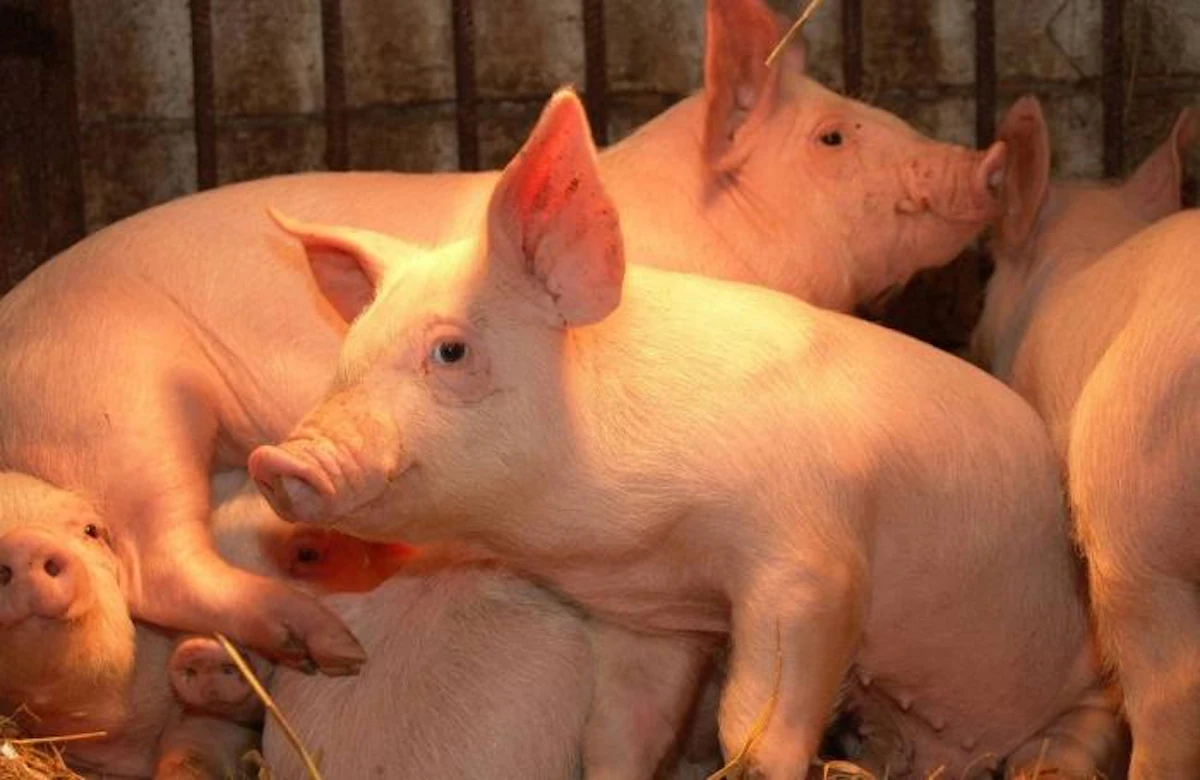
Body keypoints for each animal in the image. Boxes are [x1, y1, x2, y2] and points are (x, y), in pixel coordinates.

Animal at [249, 88, 1124, 779]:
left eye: (451, 351)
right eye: (349, 354)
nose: (276, 458)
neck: (639, 542)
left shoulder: (811, 563)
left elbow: (759, 727)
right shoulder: (653, 621)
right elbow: (619, 733)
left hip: (1090, 689)